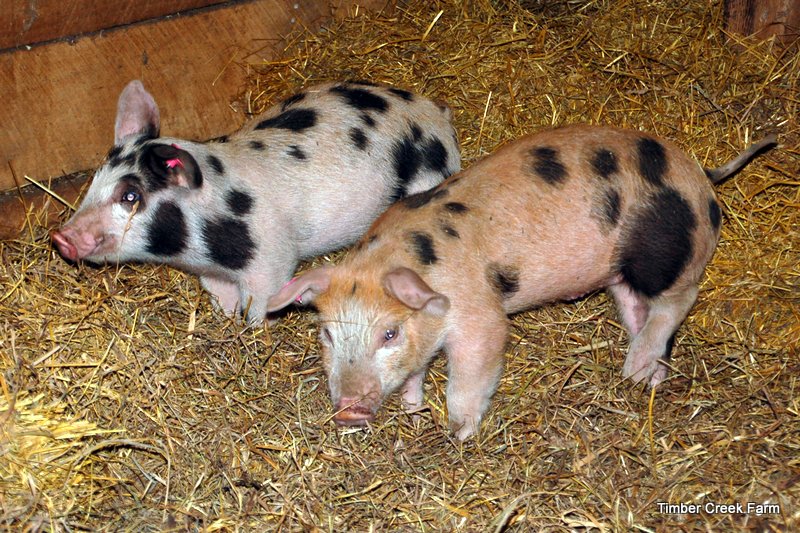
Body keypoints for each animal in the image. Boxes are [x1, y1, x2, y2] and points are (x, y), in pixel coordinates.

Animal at [51, 80, 461, 324]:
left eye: (131, 196)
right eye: (95, 182)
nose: (61, 237)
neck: (202, 247)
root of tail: (434, 112)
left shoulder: (271, 258)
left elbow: (261, 303)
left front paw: (252, 330)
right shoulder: (212, 274)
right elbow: (222, 299)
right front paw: (227, 322)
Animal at [266, 125, 777, 440]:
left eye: (389, 333)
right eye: (327, 334)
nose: (348, 410)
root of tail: (701, 176)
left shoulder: (480, 317)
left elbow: (472, 370)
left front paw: (459, 432)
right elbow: (415, 372)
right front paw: (413, 408)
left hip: (665, 255)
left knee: (678, 300)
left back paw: (634, 370)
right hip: (619, 271)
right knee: (637, 307)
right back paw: (645, 376)